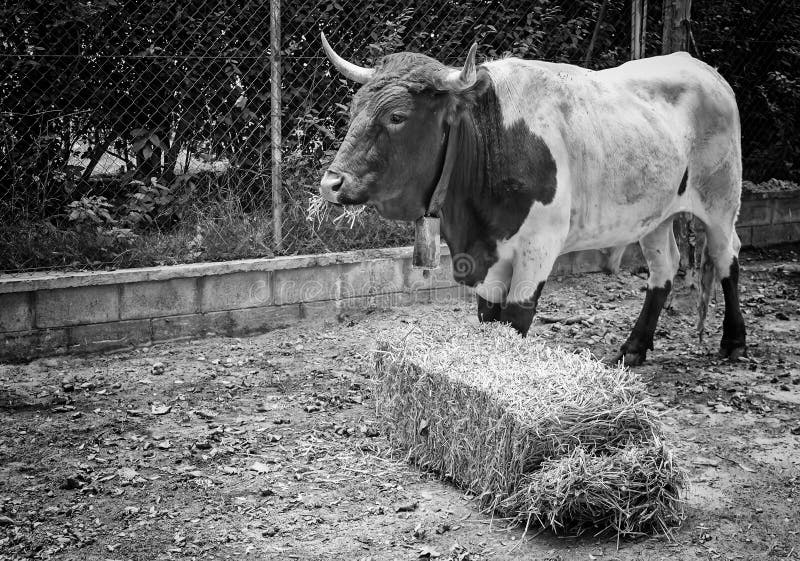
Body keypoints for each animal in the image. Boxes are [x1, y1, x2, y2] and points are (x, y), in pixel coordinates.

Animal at [318, 33, 746, 366]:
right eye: (355, 108)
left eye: (397, 116)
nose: (331, 183)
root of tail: (697, 66)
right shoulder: (488, 258)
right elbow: (489, 316)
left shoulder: (539, 246)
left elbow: (515, 318)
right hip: (655, 215)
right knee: (664, 267)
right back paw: (634, 348)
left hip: (722, 201)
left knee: (728, 255)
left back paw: (734, 341)